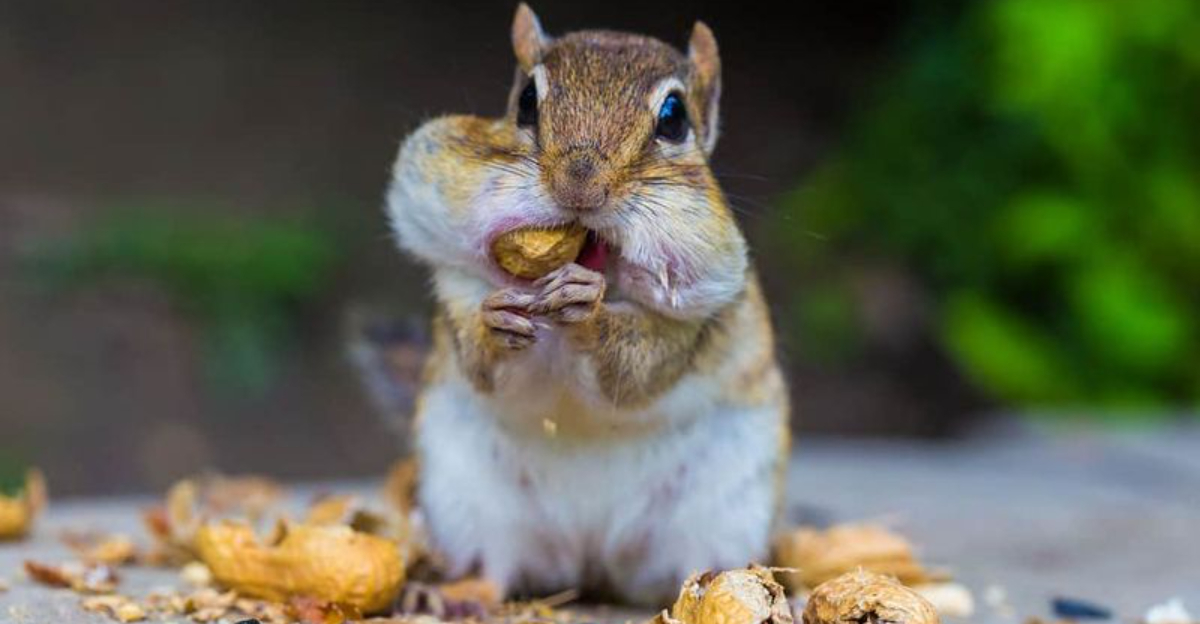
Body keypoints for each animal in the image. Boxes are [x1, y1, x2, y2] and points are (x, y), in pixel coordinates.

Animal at [379, 4, 790, 605]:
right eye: (526, 100)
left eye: (674, 118)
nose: (580, 186)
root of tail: (593, 563)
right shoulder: (455, 287)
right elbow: (480, 362)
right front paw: (495, 323)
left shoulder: (699, 319)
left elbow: (638, 369)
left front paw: (589, 316)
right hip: (468, 498)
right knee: (498, 562)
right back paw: (466, 596)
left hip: (725, 505)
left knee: (697, 565)